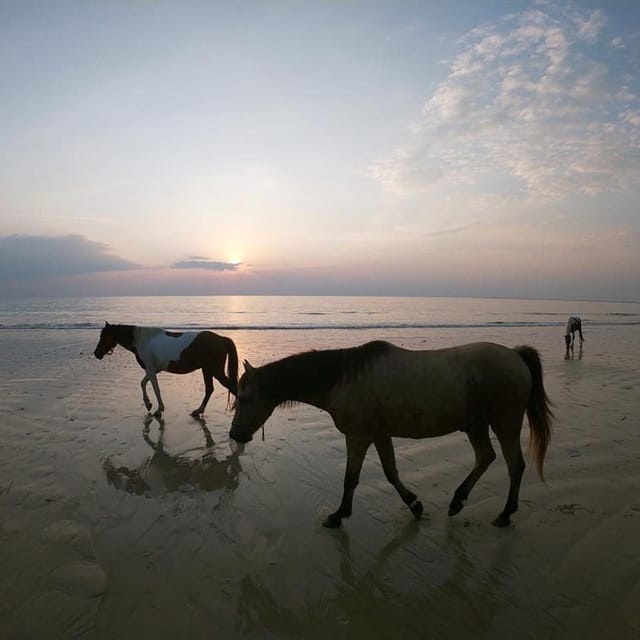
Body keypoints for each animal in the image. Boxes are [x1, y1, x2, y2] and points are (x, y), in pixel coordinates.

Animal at [93, 322, 238, 417]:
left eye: (103, 336)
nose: (96, 353)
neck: (142, 341)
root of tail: (221, 339)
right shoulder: (153, 369)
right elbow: (143, 383)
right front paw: (148, 404)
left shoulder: (151, 369)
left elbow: (155, 388)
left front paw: (158, 409)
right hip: (207, 370)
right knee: (209, 390)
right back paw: (198, 411)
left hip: (215, 370)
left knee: (231, 386)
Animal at [229, 340, 552, 528]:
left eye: (244, 398)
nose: (234, 435)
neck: (344, 378)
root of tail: (515, 355)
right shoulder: (379, 434)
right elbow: (390, 471)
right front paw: (414, 504)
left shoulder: (358, 436)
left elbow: (351, 478)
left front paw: (338, 515)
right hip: (476, 425)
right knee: (486, 457)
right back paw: (458, 501)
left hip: (505, 423)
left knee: (514, 465)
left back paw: (505, 513)